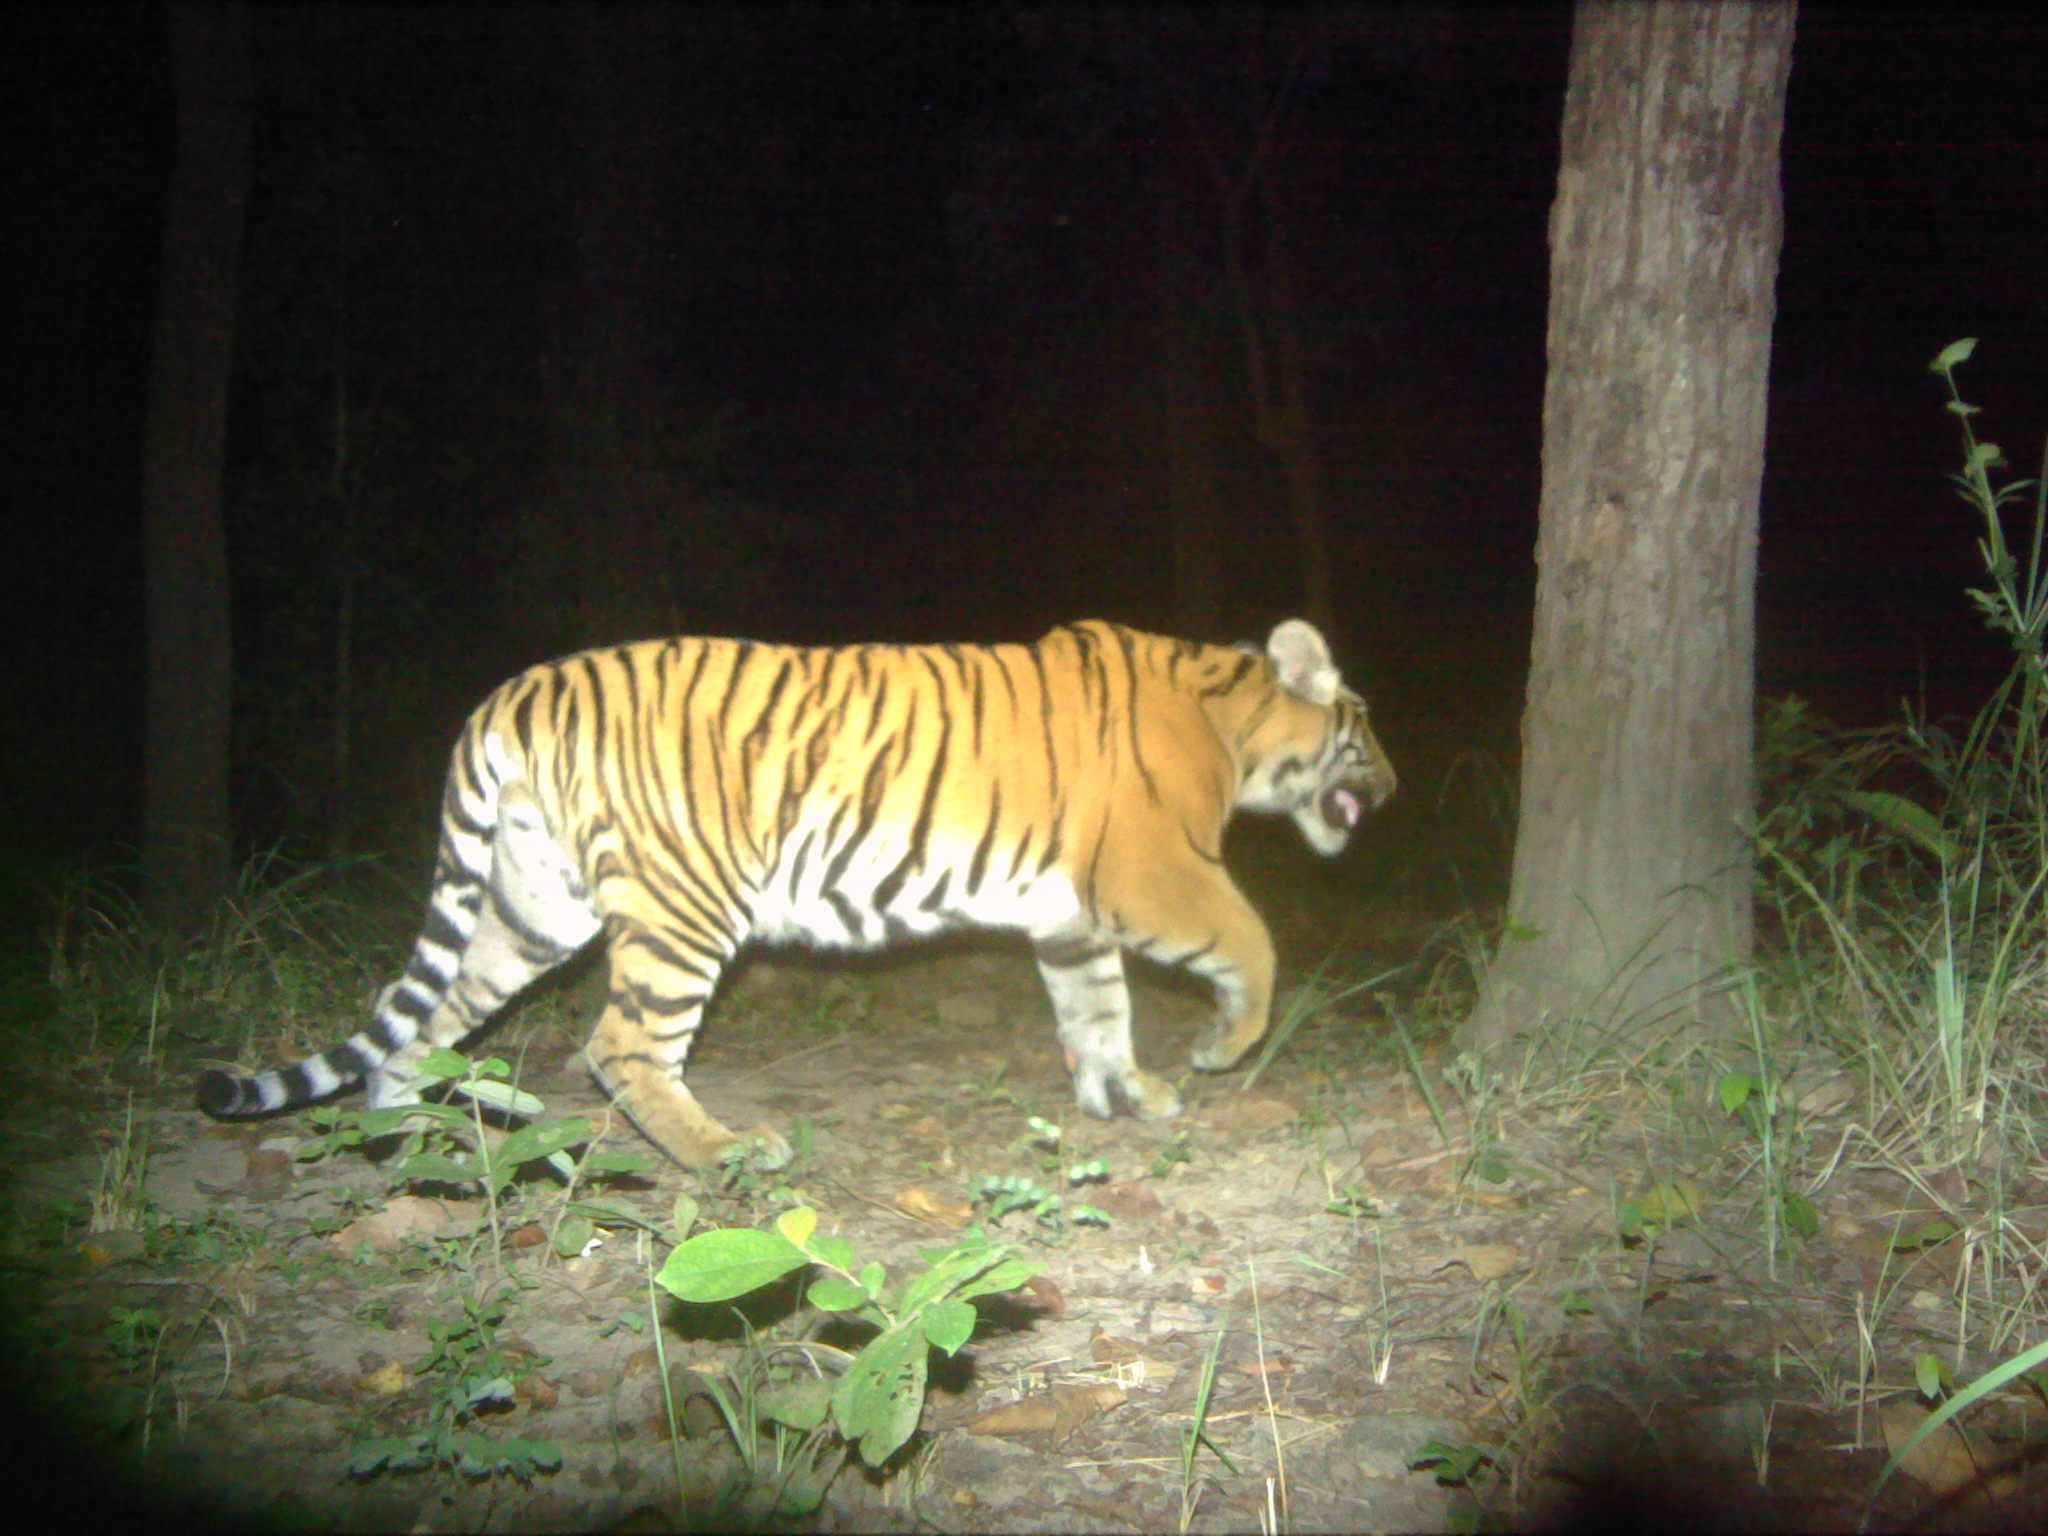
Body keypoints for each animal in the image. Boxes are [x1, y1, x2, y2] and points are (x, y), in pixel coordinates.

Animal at [198, 618, 1394, 1170]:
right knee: (620, 1048)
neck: (1231, 717)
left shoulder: (1068, 912)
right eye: (1366, 723)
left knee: (419, 1020)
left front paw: (1126, 1093)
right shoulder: (1156, 869)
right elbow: (1252, 943)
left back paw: (408, 1135)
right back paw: (725, 1154)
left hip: (532, 908)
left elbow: (1096, 1008)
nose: (1390, 785)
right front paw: (1220, 1050)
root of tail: (514, 692)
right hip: (684, 905)